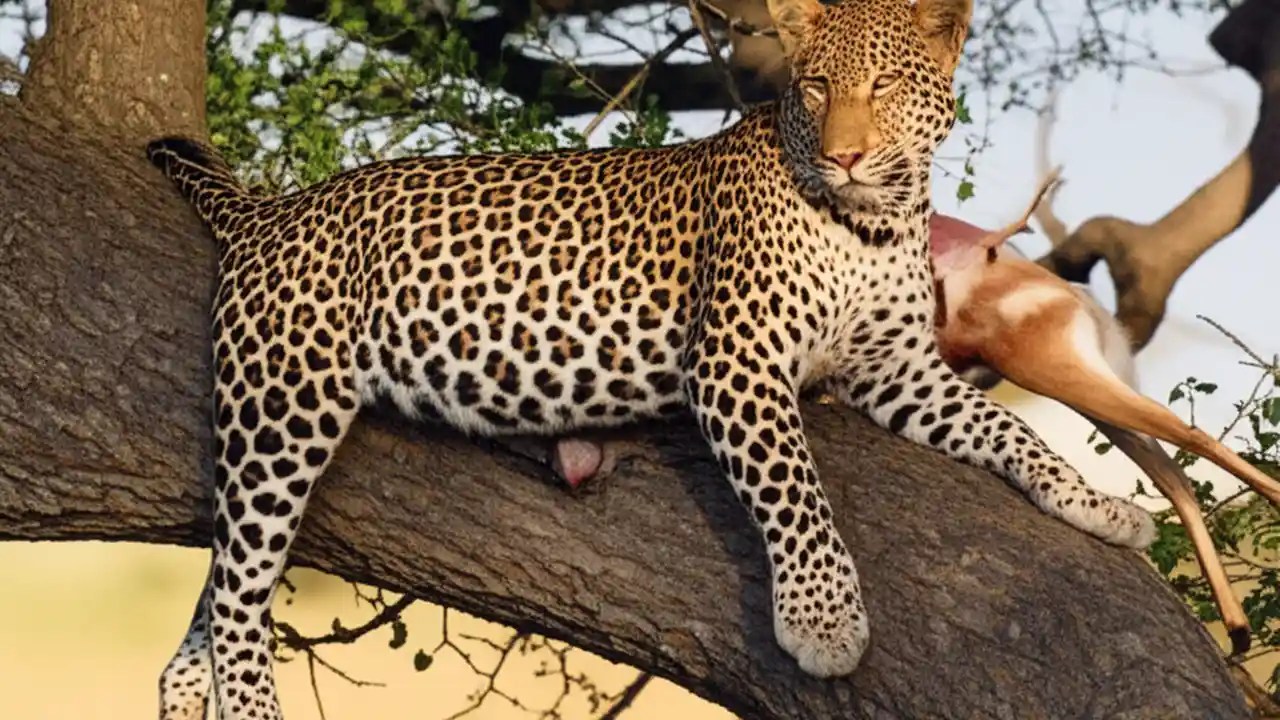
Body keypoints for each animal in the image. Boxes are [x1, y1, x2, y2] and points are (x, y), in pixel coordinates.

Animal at [146, 0, 1154, 716]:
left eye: (883, 86)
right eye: (815, 89)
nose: (847, 156)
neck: (874, 219)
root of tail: (270, 211)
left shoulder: (898, 370)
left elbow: (1012, 433)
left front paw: (1099, 504)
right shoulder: (739, 360)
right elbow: (797, 492)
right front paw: (824, 620)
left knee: (224, 580)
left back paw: (188, 691)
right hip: (286, 407)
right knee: (239, 595)